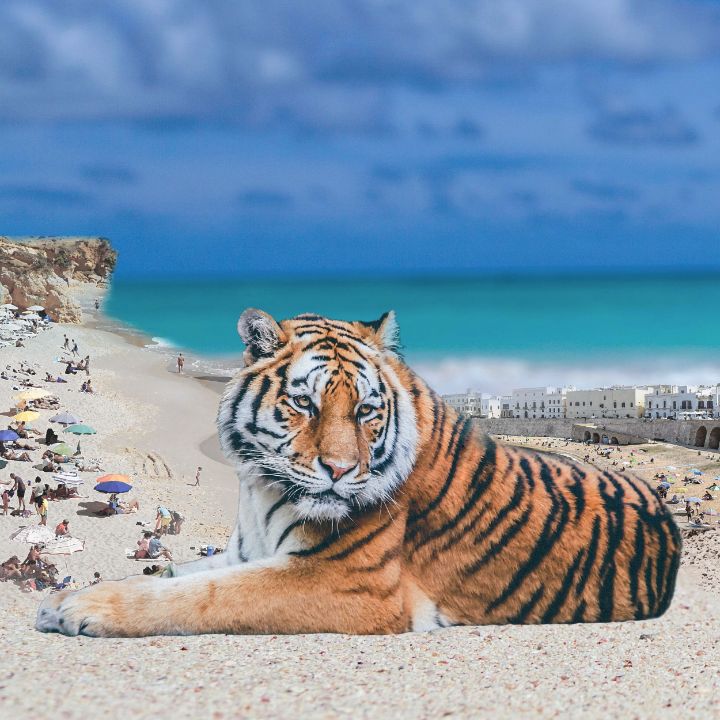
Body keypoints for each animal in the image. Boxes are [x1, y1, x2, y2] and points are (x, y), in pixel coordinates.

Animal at [36, 309, 681, 637]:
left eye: (367, 411)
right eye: (305, 404)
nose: (342, 471)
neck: (258, 487)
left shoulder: (346, 582)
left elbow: (204, 595)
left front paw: (87, 608)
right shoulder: (248, 551)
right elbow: (176, 572)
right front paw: (64, 597)